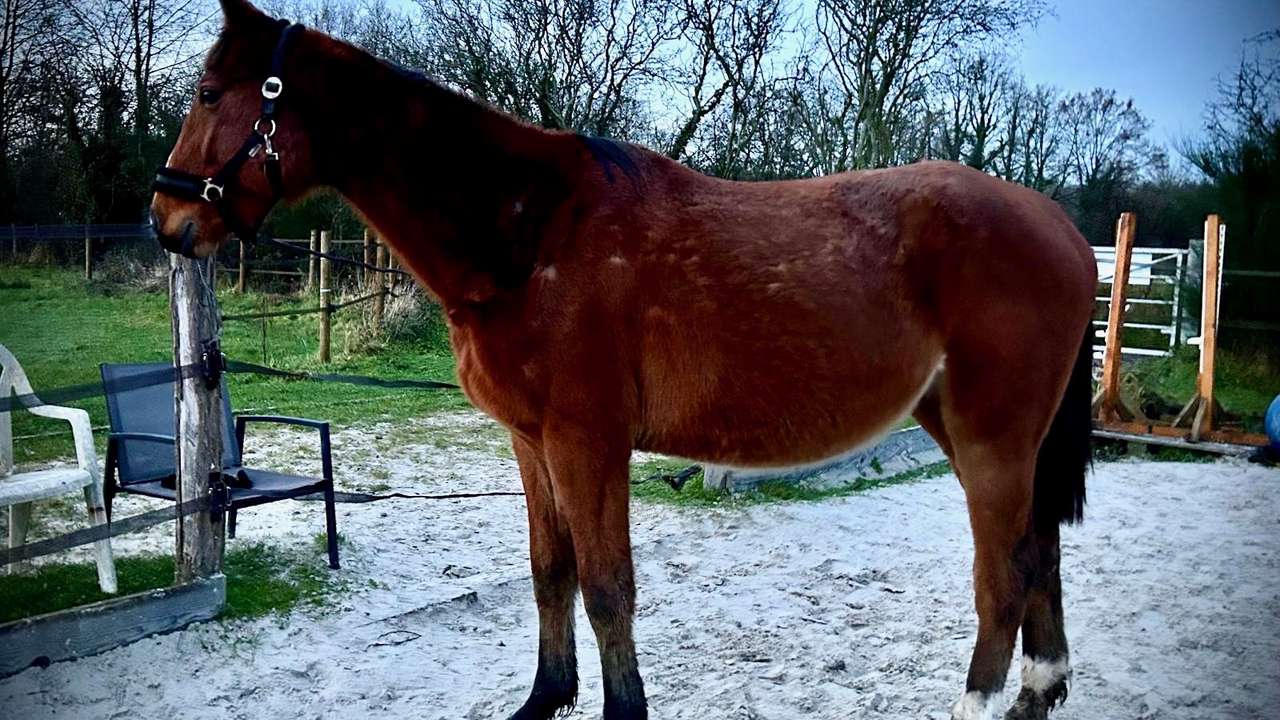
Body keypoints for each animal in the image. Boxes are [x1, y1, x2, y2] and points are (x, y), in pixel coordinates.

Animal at [151, 3, 1096, 719]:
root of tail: (1059, 226)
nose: (167, 222)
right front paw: (546, 698)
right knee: (1040, 550)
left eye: (207, 92)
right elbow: (552, 574)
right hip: (982, 433)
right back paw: (1038, 691)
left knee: (1004, 574)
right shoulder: (532, 443)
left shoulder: (587, 442)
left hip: (991, 439)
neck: (532, 233)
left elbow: (608, 587)